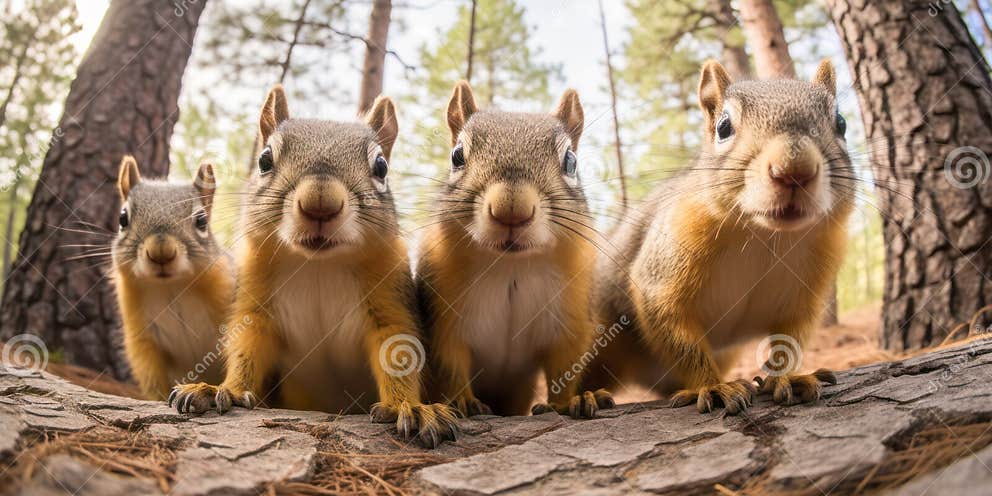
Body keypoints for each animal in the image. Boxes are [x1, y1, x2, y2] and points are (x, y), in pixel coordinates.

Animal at [112, 156, 235, 400]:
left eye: (201, 221)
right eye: (122, 219)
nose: (161, 253)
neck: (172, 288)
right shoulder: (142, 340)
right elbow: (153, 379)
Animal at [169, 85, 459, 448]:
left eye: (381, 167)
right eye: (264, 160)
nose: (320, 204)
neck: (317, 266)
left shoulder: (389, 295)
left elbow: (397, 349)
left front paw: (410, 407)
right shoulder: (255, 300)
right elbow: (248, 345)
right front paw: (223, 390)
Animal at [417, 80, 615, 419]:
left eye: (571, 161)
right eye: (457, 156)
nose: (512, 211)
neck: (511, 266)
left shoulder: (571, 319)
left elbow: (565, 366)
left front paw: (573, 400)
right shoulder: (443, 318)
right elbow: (451, 363)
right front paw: (461, 401)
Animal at [581, 59, 854, 414]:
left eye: (841, 123)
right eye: (724, 127)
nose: (795, 170)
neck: (766, 237)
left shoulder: (808, 290)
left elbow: (791, 338)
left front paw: (787, 377)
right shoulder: (664, 264)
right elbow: (671, 323)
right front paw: (713, 386)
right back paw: (578, 398)